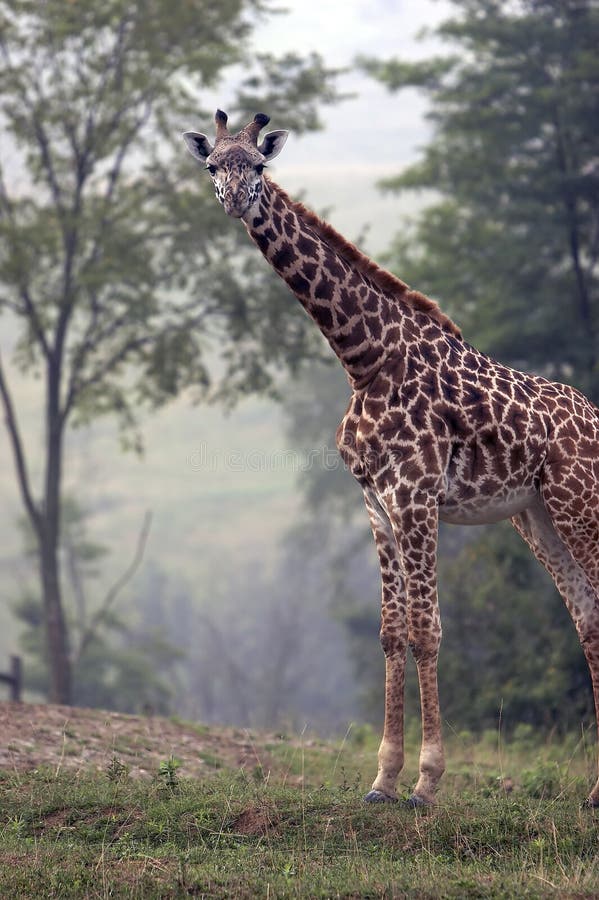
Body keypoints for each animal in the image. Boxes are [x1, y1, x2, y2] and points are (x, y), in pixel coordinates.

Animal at [183, 110, 599, 807]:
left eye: (260, 165)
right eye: (213, 164)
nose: (236, 200)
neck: (365, 358)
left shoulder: (418, 495)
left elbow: (427, 629)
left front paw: (427, 785)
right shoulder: (377, 503)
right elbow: (391, 631)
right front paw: (382, 780)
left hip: (579, 506)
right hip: (538, 518)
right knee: (588, 618)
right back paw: (595, 791)